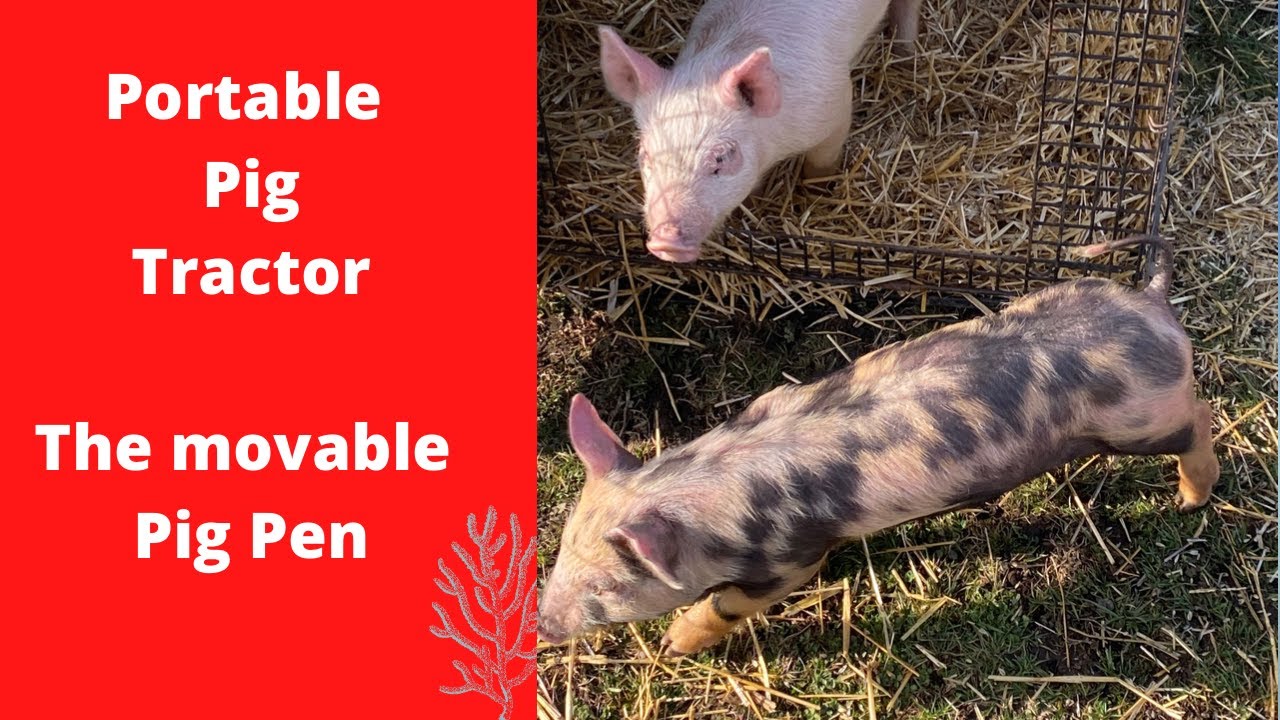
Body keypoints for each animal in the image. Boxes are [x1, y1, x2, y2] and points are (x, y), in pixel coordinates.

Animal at [538, 236, 1219, 656]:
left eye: (610, 590)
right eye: (561, 551)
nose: (542, 628)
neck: (710, 490)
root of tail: (1153, 303)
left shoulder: (793, 556)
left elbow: (731, 603)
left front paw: (671, 645)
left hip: (1141, 419)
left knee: (1200, 418)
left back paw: (1190, 501)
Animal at [599, 0, 923, 263]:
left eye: (722, 158)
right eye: (645, 156)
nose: (666, 240)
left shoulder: (835, 105)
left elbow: (821, 163)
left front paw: (814, 194)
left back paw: (905, 49)